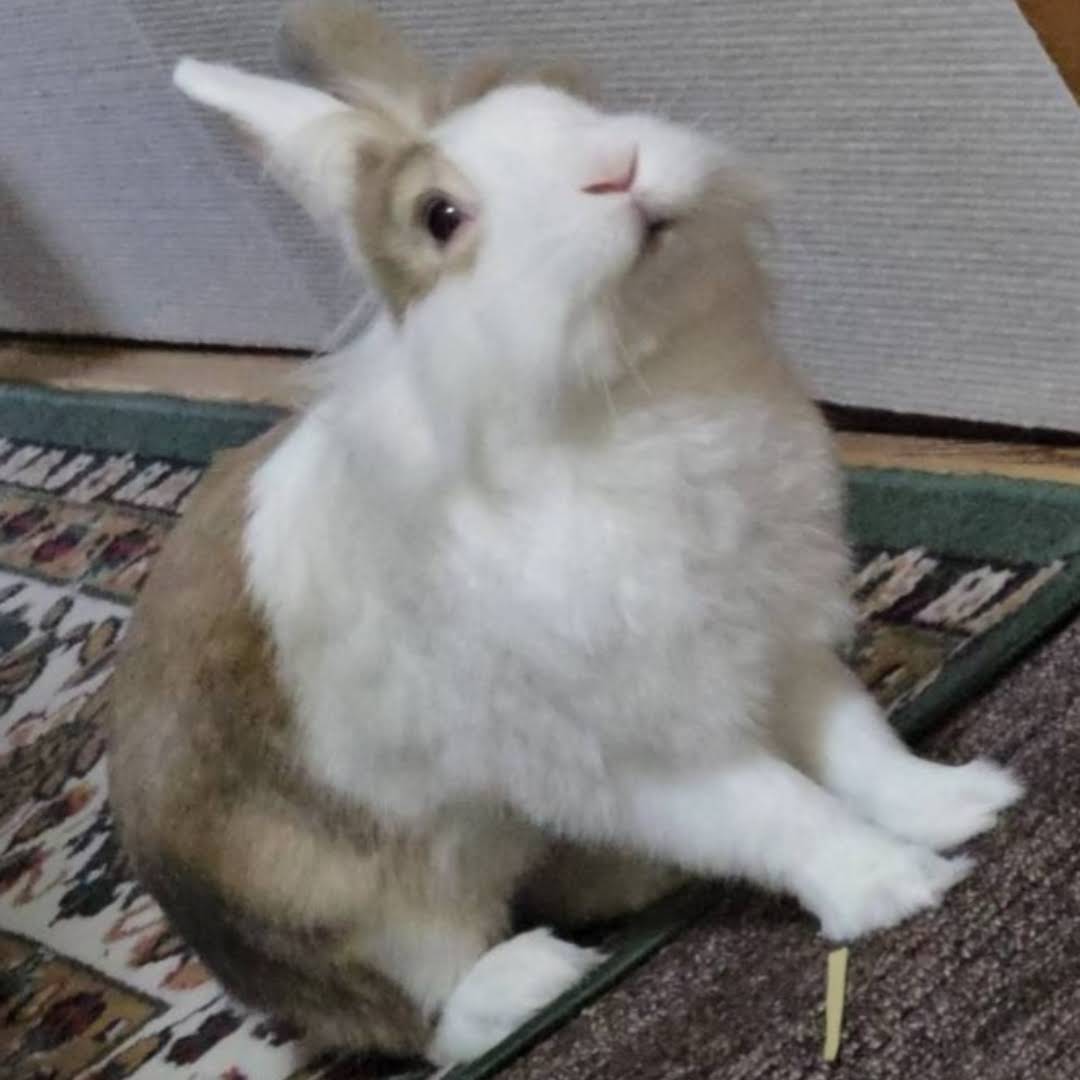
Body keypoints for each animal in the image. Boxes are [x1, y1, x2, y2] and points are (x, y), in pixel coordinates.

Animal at [106, 1, 1023, 1066]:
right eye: (440, 216)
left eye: (559, 101)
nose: (618, 166)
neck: (629, 398)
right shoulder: (625, 745)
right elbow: (774, 808)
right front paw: (891, 886)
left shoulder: (768, 634)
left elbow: (855, 741)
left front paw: (964, 804)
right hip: (328, 891)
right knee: (427, 1010)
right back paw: (535, 977)